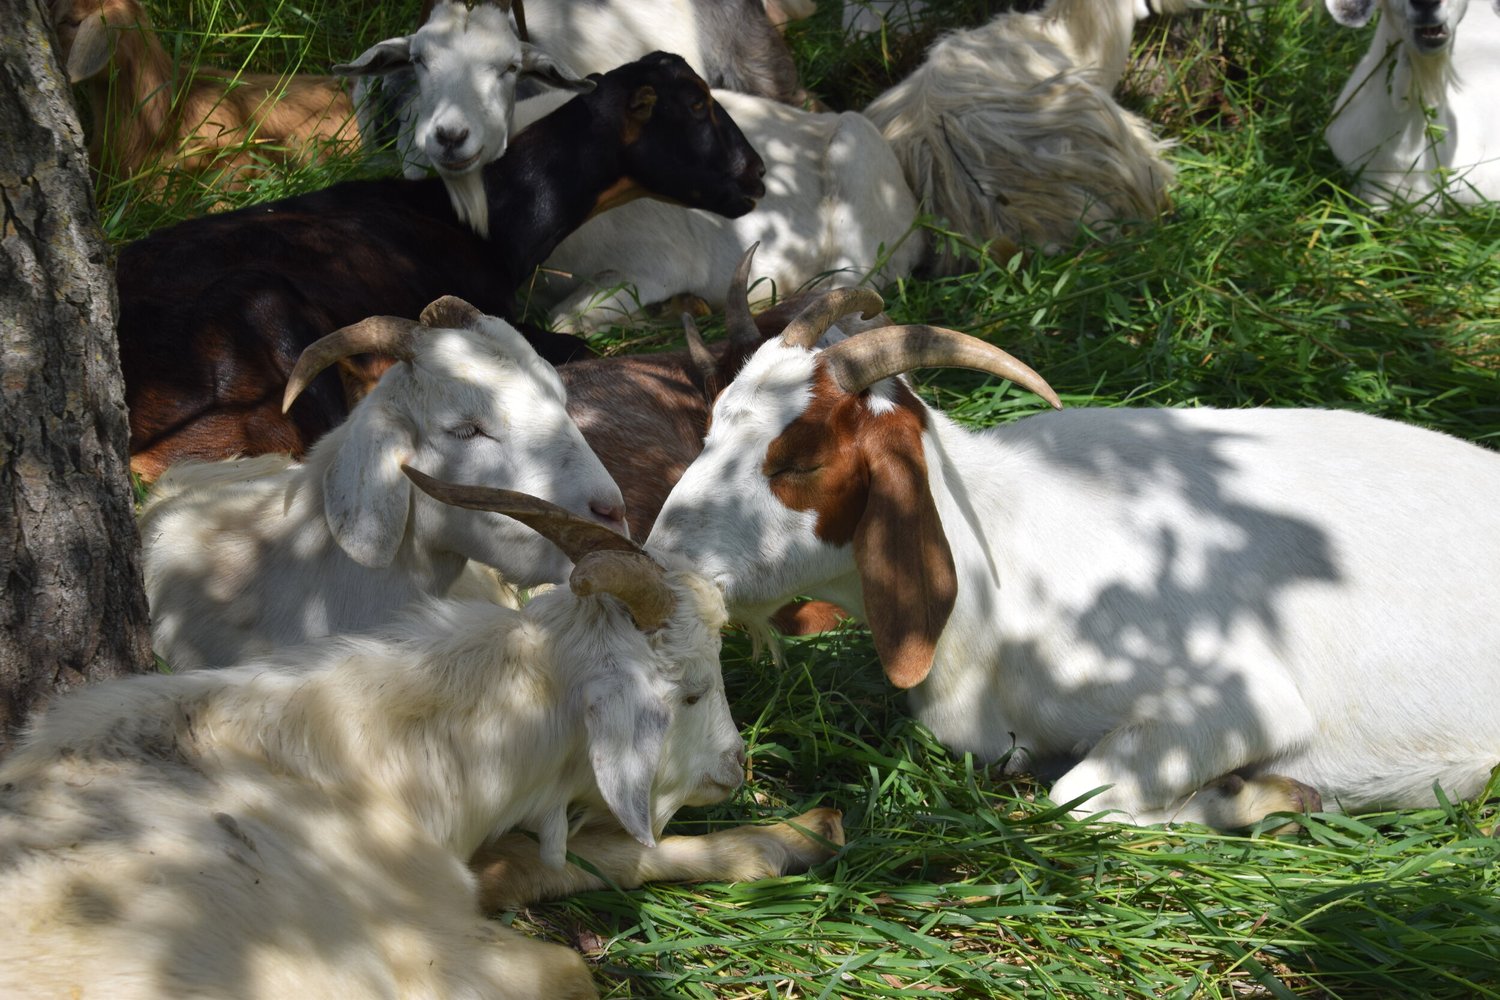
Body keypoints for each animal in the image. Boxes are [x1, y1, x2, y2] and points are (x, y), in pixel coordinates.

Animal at [0, 479, 841, 998]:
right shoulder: (413, 953)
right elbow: (565, 965)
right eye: (691, 689)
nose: (737, 763)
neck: (354, 760)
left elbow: (542, 861)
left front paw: (796, 835)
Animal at [647, 282, 1500, 830]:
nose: (661, 555)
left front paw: (1259, 799)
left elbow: (1079, 801)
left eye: (800, 460)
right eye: (711, 426)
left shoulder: (1237, 697)